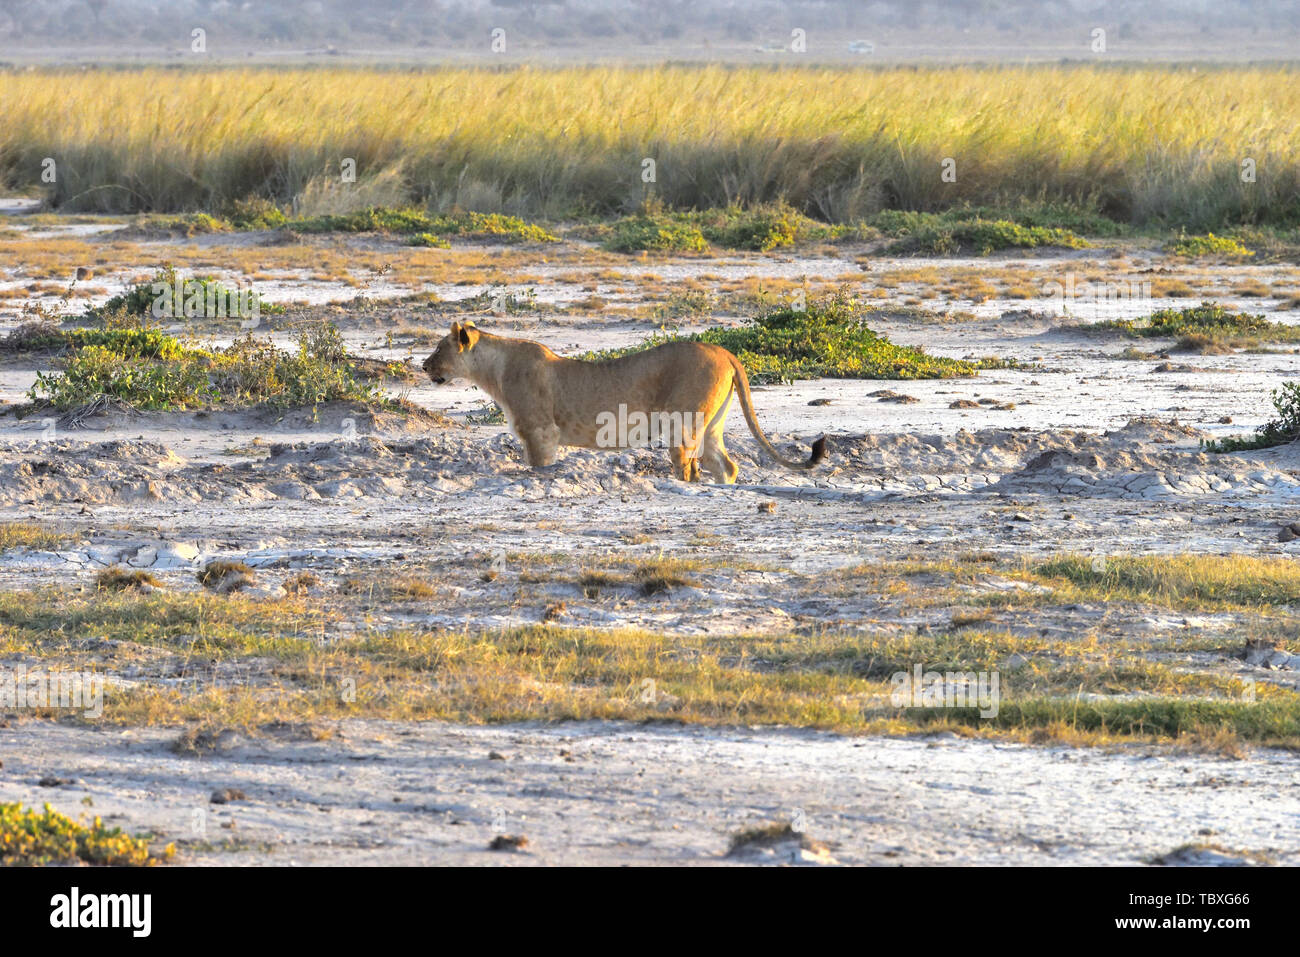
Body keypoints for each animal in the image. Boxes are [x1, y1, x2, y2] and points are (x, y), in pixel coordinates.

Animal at [423, 322, 826, 483]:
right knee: (726, 465)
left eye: (440, 348)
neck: (494, 369)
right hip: (711, 425)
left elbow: (540, 466)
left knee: (689, 467)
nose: (423, 366)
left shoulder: (541, 434)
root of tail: (725, 351)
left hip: (682, 425)